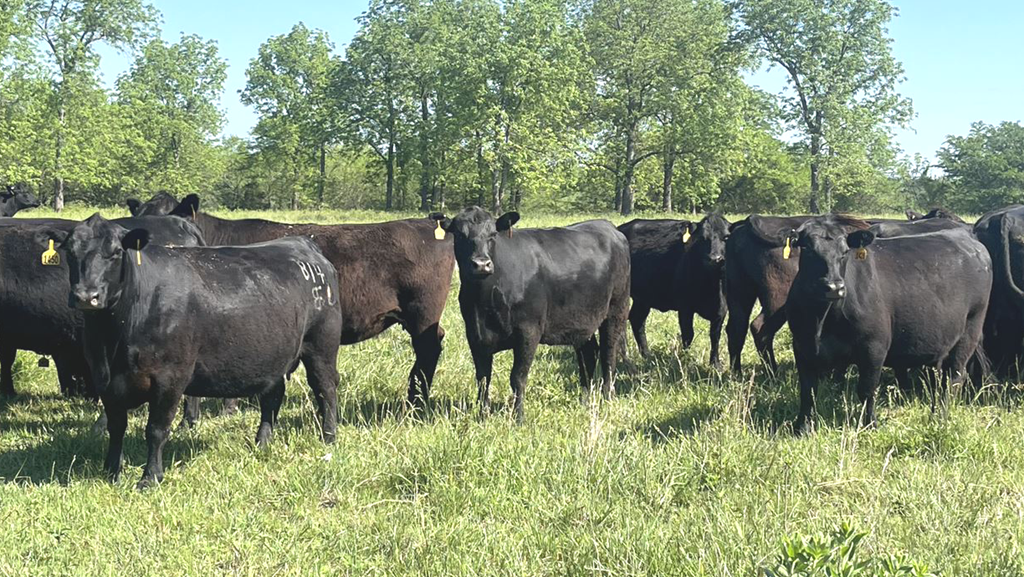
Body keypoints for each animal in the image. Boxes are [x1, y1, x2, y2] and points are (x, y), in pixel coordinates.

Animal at [44, 214, 342, 488]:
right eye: (70, 252)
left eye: (116, 252)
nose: (86, 296)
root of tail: (302, 244)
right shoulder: (104, 378)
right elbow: (116, 427)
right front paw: (111, 472)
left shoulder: (169, 378)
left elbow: (156, 430)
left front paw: (150, 478)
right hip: (273, 355)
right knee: (273, 395)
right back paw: (262, 442)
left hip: (321, 346)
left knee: (325, 387)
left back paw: (328, 436)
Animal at [438, 207, 630, 423]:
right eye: (460, 235)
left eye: (493, 235)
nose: (481, 264)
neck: (485, 298)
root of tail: (610, 228)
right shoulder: (475, 333)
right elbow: (483, 377)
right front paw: (483, 415)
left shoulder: (529, 331)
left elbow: (518, 377)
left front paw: (519, 417)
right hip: (581, 320)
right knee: (588, 354)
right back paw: (584, 399)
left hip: (617, 309)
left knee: (608, 353)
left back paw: (607, 396)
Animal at [618, 214, 729, 367]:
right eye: (702, 238)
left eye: (726, 237)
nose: (715, 258)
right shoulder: (685, 307)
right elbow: (688, 334)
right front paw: (684, 359)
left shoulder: (722, 309)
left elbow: (715, 335)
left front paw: (715, 364)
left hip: (644, 298)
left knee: (637, 319)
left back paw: (647, 355)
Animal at [777, 216, 991, 433]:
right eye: (808, 249)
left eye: (845, 252)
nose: (834, 287)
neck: (823, 319)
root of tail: (967, 237)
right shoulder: (802, 346)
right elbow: (807, 391)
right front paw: (802, 427)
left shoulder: (874, 347)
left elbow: (866, 390)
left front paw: (870, 425)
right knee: (939, 380)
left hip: (970, 329)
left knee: (953, 377)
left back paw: (940, 417)